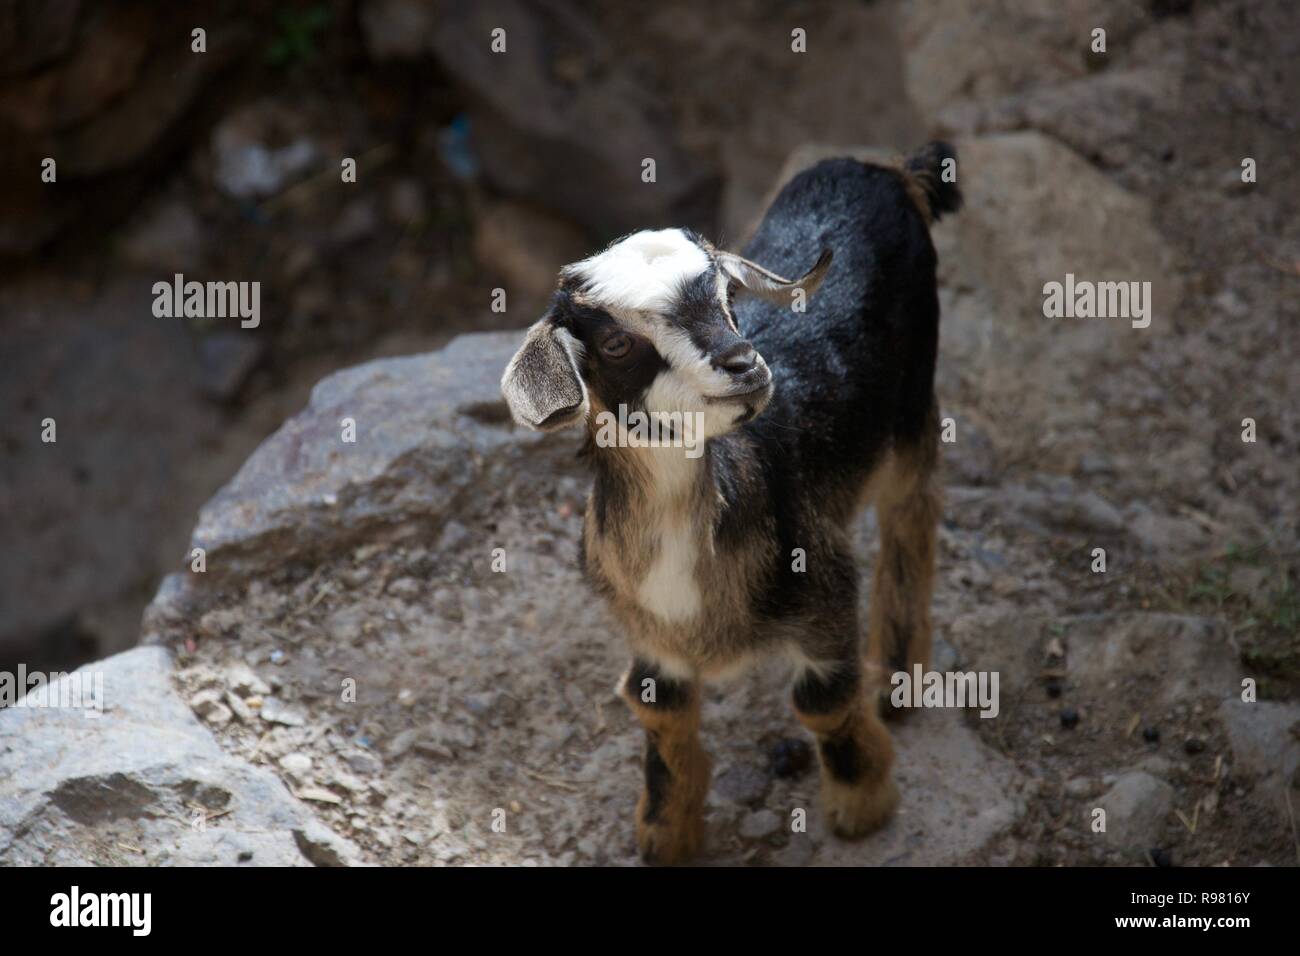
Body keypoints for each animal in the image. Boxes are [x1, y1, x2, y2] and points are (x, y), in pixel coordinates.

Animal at [501, 144, 961, 864]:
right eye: (616, 343)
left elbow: (823, 697)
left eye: (725, 298)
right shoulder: (647, 633)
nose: (745, 364)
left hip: (914, 406)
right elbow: (656, 709)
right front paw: (666, 831)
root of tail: (881, 169)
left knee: (911, 515)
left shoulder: (823, 586)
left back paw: (896, 681)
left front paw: (863, 804)